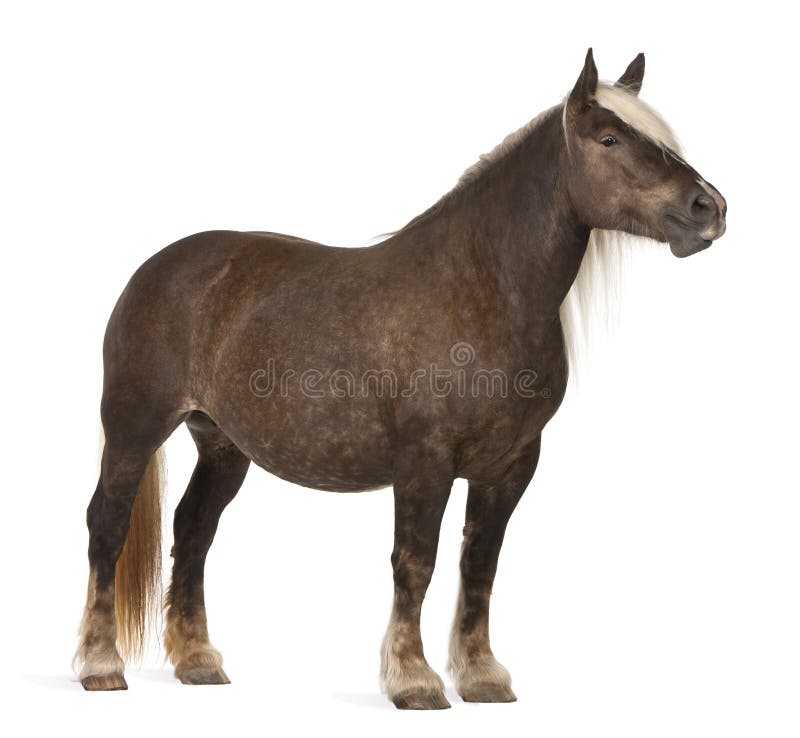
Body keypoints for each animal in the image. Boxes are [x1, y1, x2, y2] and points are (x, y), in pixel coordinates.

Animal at [74, 49, 726, 709]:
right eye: (610, 138)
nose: (710, 209)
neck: (480, 289)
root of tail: (155, 269)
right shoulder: (424, 464)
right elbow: (416, 563)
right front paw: (414, 680)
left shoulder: (510, 467)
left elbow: (479, 565)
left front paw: (482, 676)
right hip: (135, 429)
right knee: (107, 524)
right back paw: (100, 665)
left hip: (222, 444)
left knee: (194, 530)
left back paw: (198, 661)